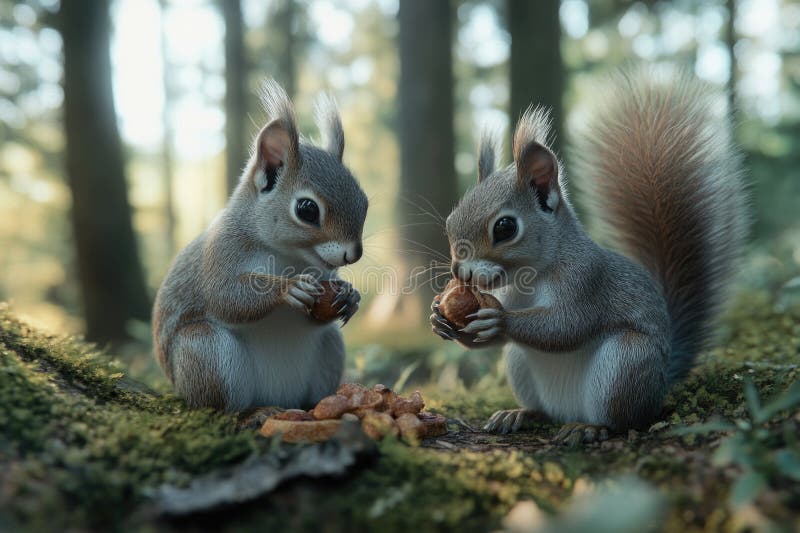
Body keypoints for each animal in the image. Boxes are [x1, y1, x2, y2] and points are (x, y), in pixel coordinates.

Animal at [153, 80, 368, 412]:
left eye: (364, 201)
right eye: (307, 209)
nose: (353, 254)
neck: (285, 254)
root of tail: (278, 398)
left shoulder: (322, 278)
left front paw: (350, 294)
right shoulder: (221, 253)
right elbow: (226, 296)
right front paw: (288, 288)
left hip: (331, 350)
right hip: (206, 352)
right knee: (223, 404)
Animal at [431, 68, 748, 441]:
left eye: (505, 228)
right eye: (450, 221)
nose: (458, 272)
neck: (531, 275)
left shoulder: (587, 280)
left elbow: (568, 325)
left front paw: (500, 322)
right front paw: (441, 320)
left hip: (625, 362)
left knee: (623, 420)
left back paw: (588, 427)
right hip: (519, 362)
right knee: (540, 407)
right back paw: (519, 413)